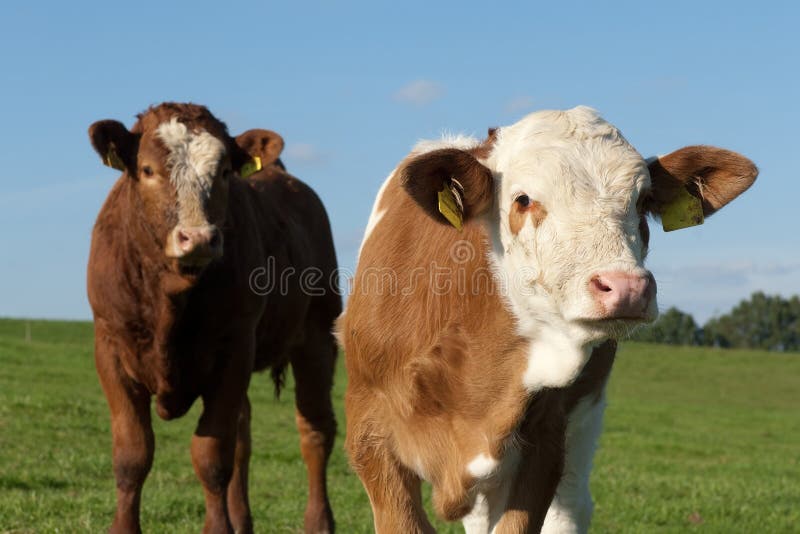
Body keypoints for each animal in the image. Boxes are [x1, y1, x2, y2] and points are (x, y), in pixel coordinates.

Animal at [87, 102, 340, 534]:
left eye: (223, 173)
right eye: (148, 169)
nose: (199, 238)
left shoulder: (233, 349)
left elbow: (211, 456)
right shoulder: (110, 346)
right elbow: (132, 454)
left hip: (318, 337)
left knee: (315, 432)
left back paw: (319, 522)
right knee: (244, 433)